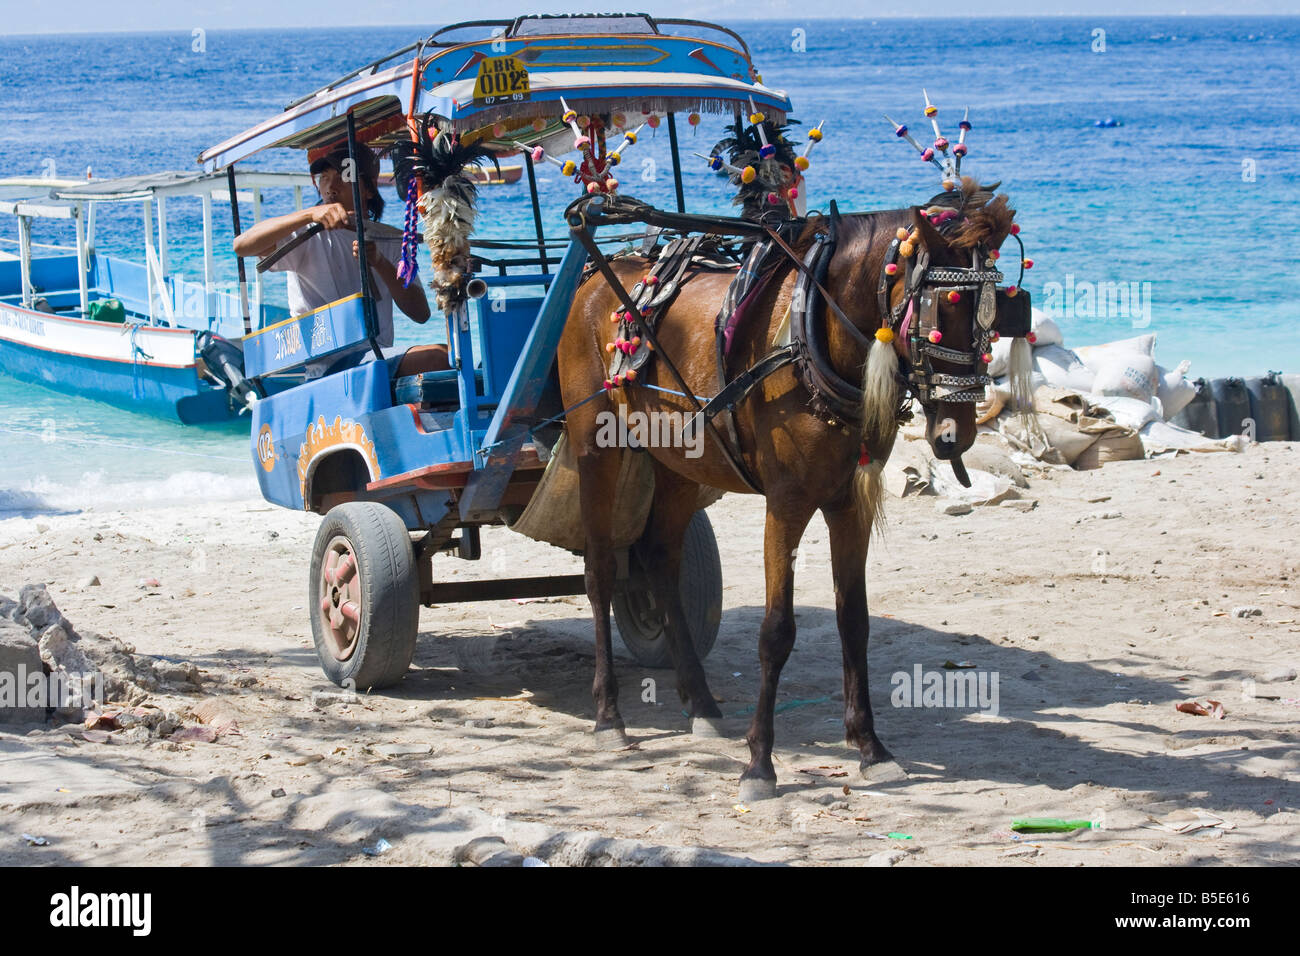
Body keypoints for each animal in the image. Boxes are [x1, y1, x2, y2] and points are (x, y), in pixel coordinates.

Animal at [556, 178, 1025, 799]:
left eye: (995, 313)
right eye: (939, 307)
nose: (956, 431)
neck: (814, 336)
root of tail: (593, 282)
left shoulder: (847, 502)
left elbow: (855, 621)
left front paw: (870, 747)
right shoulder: (786, 504)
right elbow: (776, 632)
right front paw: (760, 763)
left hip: (680, 461)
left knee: (660, 561)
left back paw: (700, 703)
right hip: (595, 448)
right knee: (601, 571)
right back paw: (609, 715)